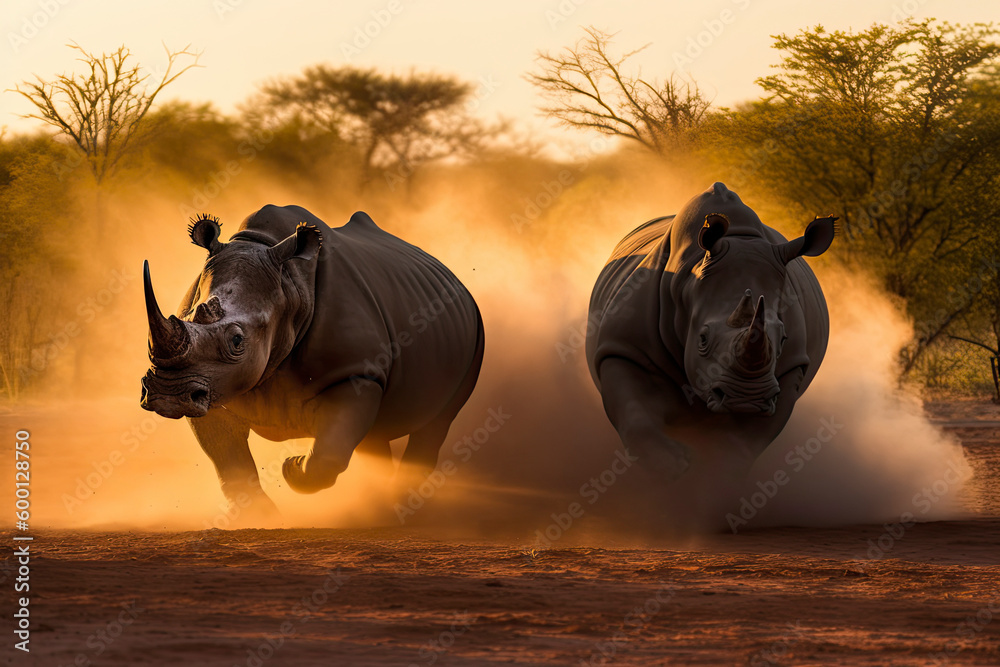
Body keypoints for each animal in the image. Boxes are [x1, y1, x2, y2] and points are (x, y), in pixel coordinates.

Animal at [140, 205, 484, 520]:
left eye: (237, 341)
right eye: (185, 316)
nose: (168, 394)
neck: (289, 284)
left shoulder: (355, 372)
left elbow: (329, 452)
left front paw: (291, 468)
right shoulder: (210, 383)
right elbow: (229, 459)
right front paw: (261, 517)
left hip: (476, 335)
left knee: (437, 423)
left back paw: (398, 506)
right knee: (375, 435)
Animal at [586, 182, 836, 479]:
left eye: (784, 339)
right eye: (702, 339)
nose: (746, 399)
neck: (686, 279)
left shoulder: (790, 368)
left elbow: (740, 445)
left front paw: (713, 473)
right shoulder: (624, 347)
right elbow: (634, 415)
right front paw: (673, 466)